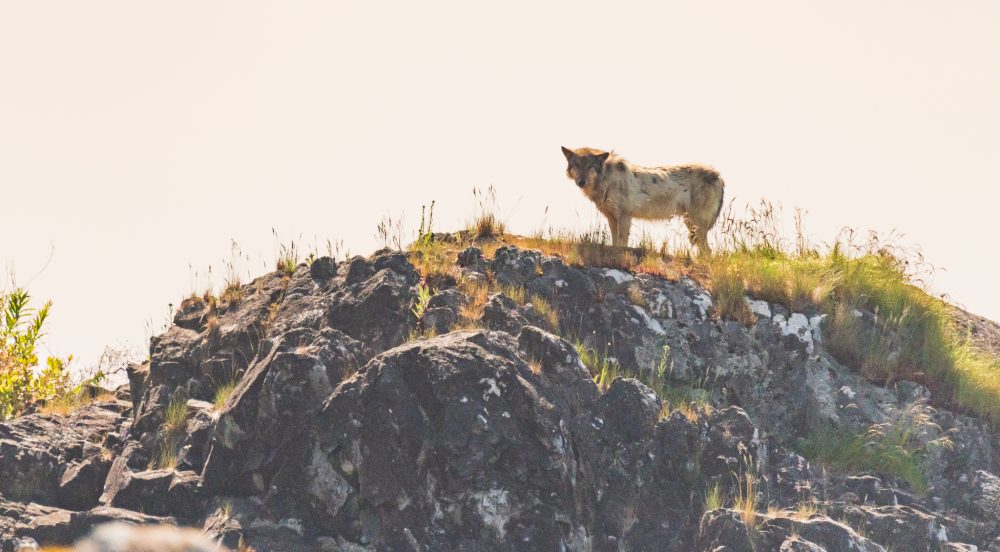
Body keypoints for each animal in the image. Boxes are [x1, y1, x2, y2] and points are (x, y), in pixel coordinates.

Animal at [561, 146, 725, 252]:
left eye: (590, 167)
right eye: (576, 165)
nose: (581, 182)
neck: (606, 178)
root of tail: (718, 175)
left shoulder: (624, 215)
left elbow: (622, 242)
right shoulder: (611, 217)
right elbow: (615, 241)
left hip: (696, 223)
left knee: (708, 251)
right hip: (690, 222)